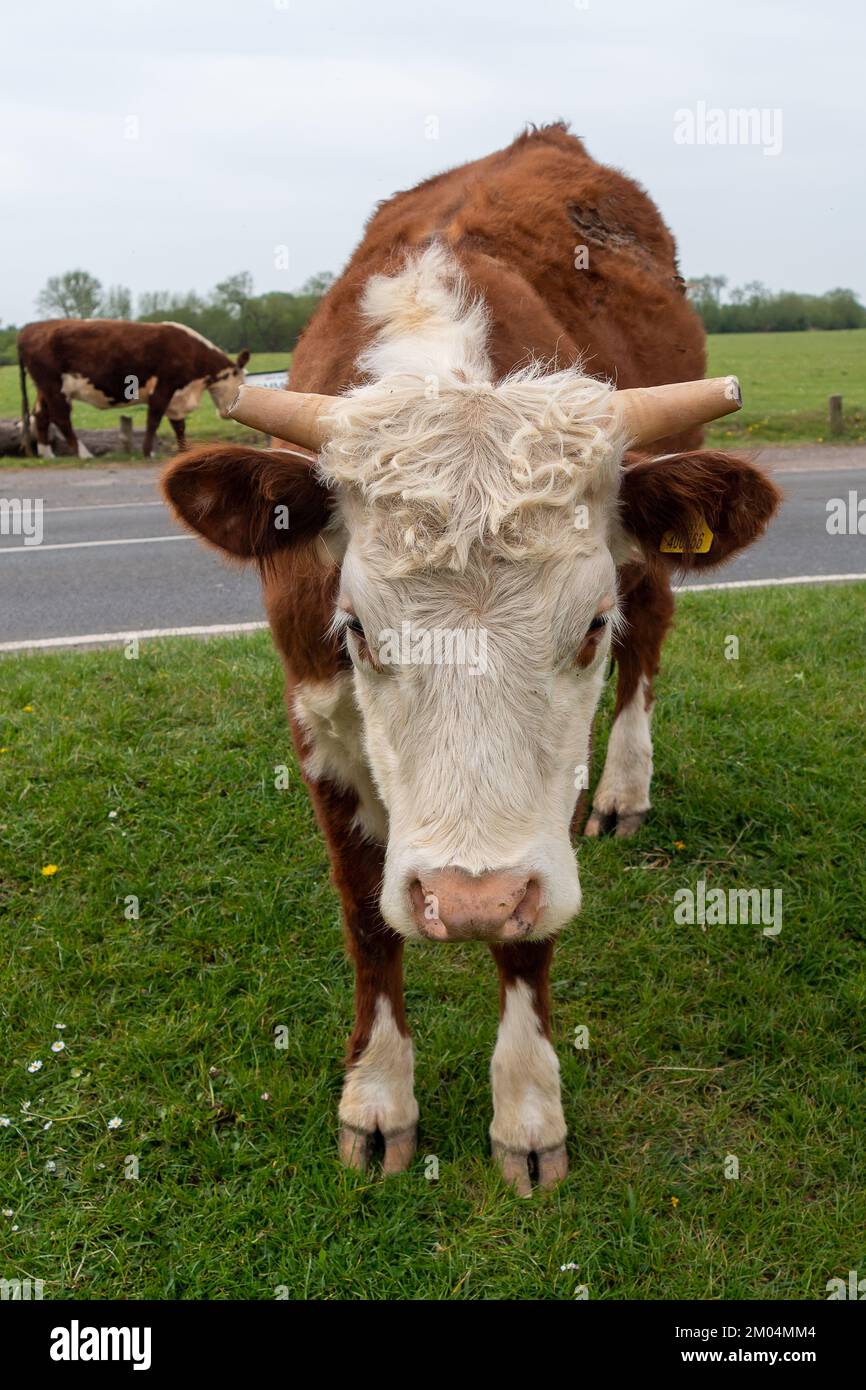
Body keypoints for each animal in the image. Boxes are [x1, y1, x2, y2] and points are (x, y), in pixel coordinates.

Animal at [18, 319, 250, 460]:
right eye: (240, 380)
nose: (226, 413)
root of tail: (33, 327)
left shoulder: (177, 398)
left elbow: (179, 426)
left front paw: (184, 452)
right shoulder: (164, 388)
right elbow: (153, 420)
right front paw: (148, 452)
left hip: (44, 389)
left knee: (41, 415)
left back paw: (47, 453)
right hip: (55, 387)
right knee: (61, 418)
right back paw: (84, 454)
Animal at [162, 124, 780, 1194]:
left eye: (589, 627)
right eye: (357, 630)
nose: (470, 901)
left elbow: (529, 948)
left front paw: (528, 1116)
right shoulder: (317, 720)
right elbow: (368, 920)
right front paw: (377, 1100)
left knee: (656, 639)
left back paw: (626, 790)